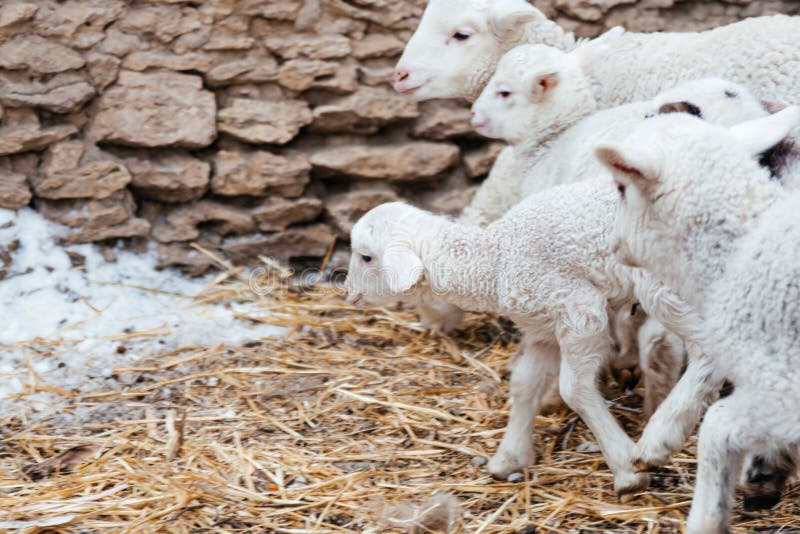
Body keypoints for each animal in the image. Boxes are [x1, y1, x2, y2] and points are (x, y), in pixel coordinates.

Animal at [343, 178, 698, 498]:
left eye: (366, 257)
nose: (347, 294)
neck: (496, 261)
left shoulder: (578, 310)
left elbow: (574, 390)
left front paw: (626, 469)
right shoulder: (544, 327)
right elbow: (524, 384)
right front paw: (510, 458)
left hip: (668, 283)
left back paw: (661, 437)